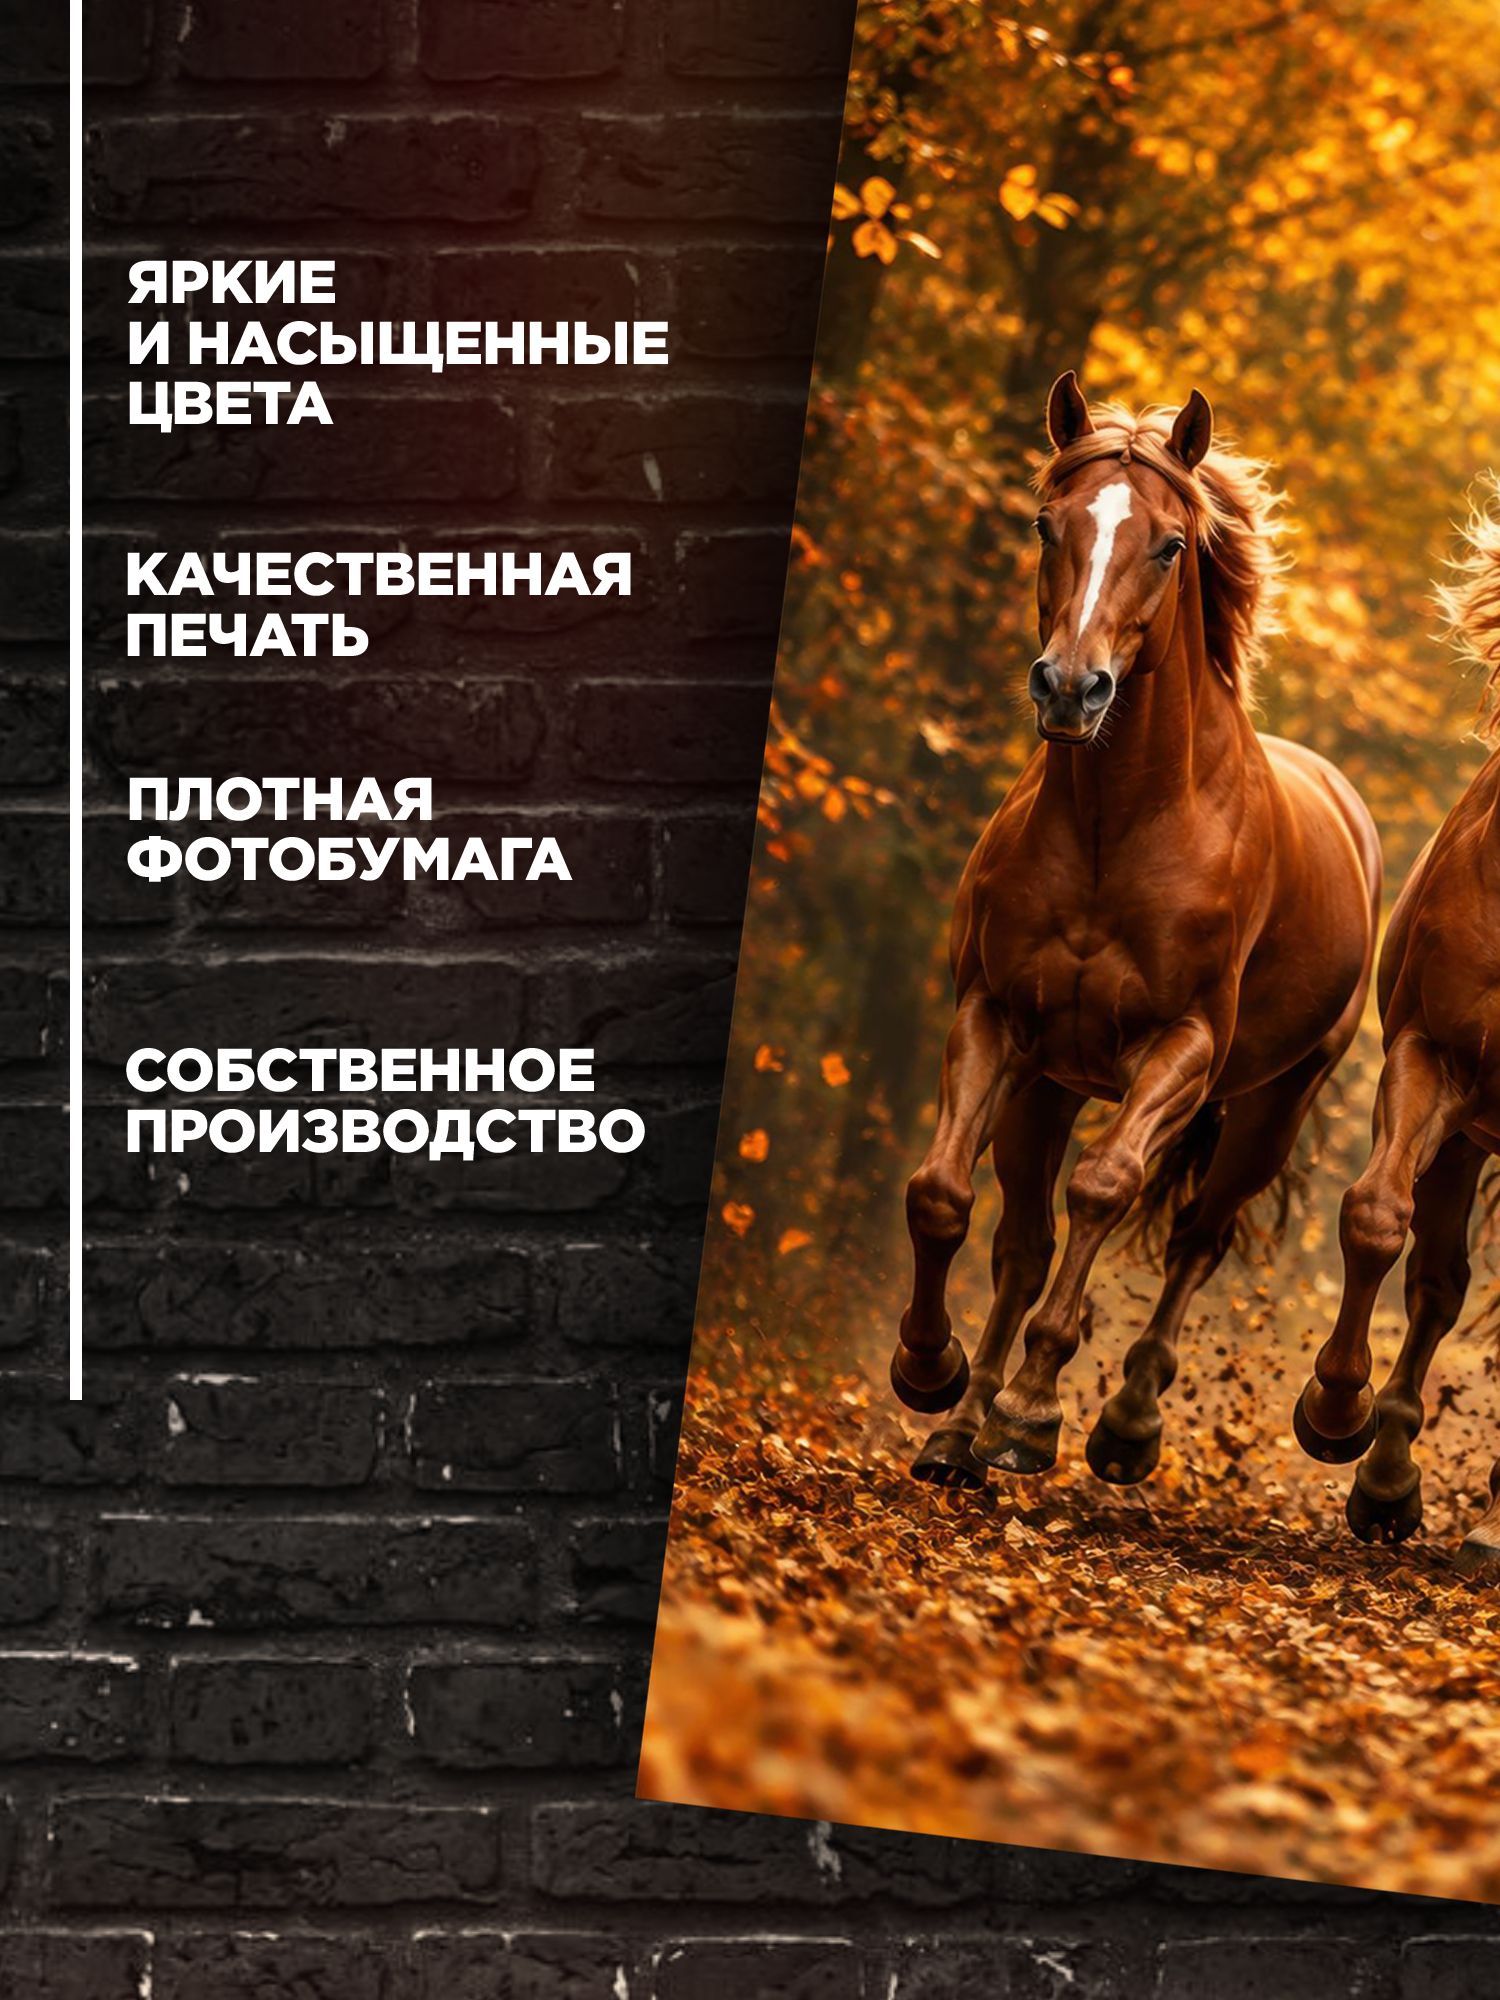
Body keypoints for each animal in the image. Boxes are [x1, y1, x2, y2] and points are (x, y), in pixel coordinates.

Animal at [889, 372, 1382, 1494]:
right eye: (1047, 523)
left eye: (1166, 544)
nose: (1071, 688)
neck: (1122, 827)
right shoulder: (993, 1018)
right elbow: (942, 1193)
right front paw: (932, 1375)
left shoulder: (1183, 1051)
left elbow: (1107, 1186)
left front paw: (1035, 1410)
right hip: (1050, 1082)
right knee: (1024, 1244)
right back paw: (960, 1430)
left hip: (1271, 1105)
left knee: (1196, 1237)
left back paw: (1124, 1422)